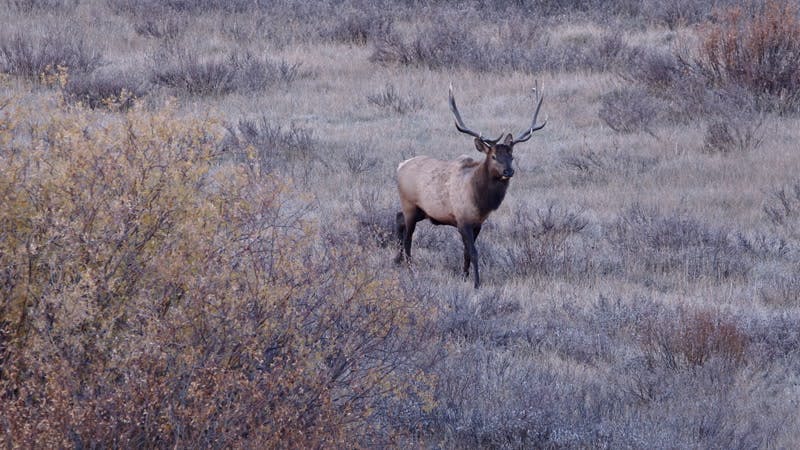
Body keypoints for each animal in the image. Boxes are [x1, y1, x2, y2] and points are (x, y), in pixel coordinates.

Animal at [395, 82, 546, 288]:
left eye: (512, 156)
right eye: (494, 156)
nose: (508, 171)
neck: (480, 201)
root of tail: (400, 166)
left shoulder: (478, 223)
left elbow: (467, 252)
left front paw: (464, 276)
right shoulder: (462, 220)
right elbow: (473, 252)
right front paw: (476, 283)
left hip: (422, 211)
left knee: (398, 219)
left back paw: (396, 260)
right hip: (409, 204)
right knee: (408, 237)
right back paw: (411, 271)